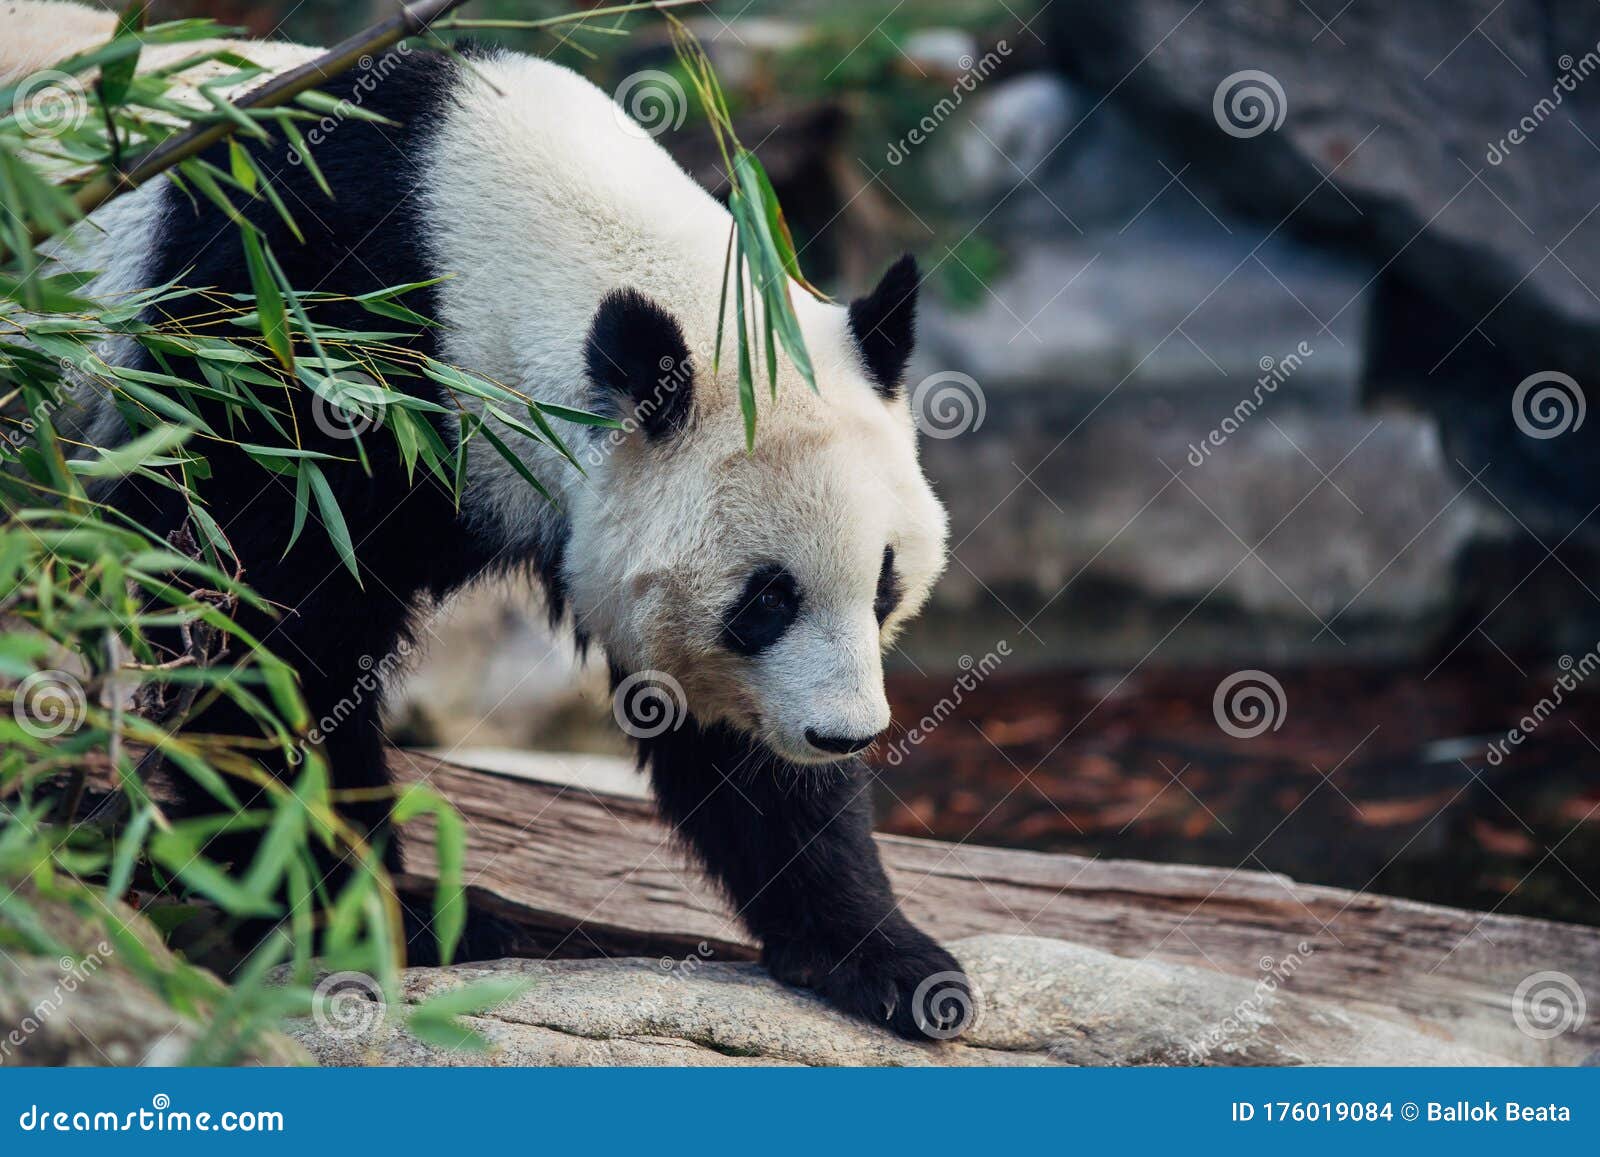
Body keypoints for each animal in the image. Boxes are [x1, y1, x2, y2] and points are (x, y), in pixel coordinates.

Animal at [13, 2, 970, 1040]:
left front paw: (883, 955)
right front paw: (367, 918)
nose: (844, 734)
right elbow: (260, 630)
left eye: (883, 586)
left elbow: (734, 753)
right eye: (766, 600)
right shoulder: (296, 344)